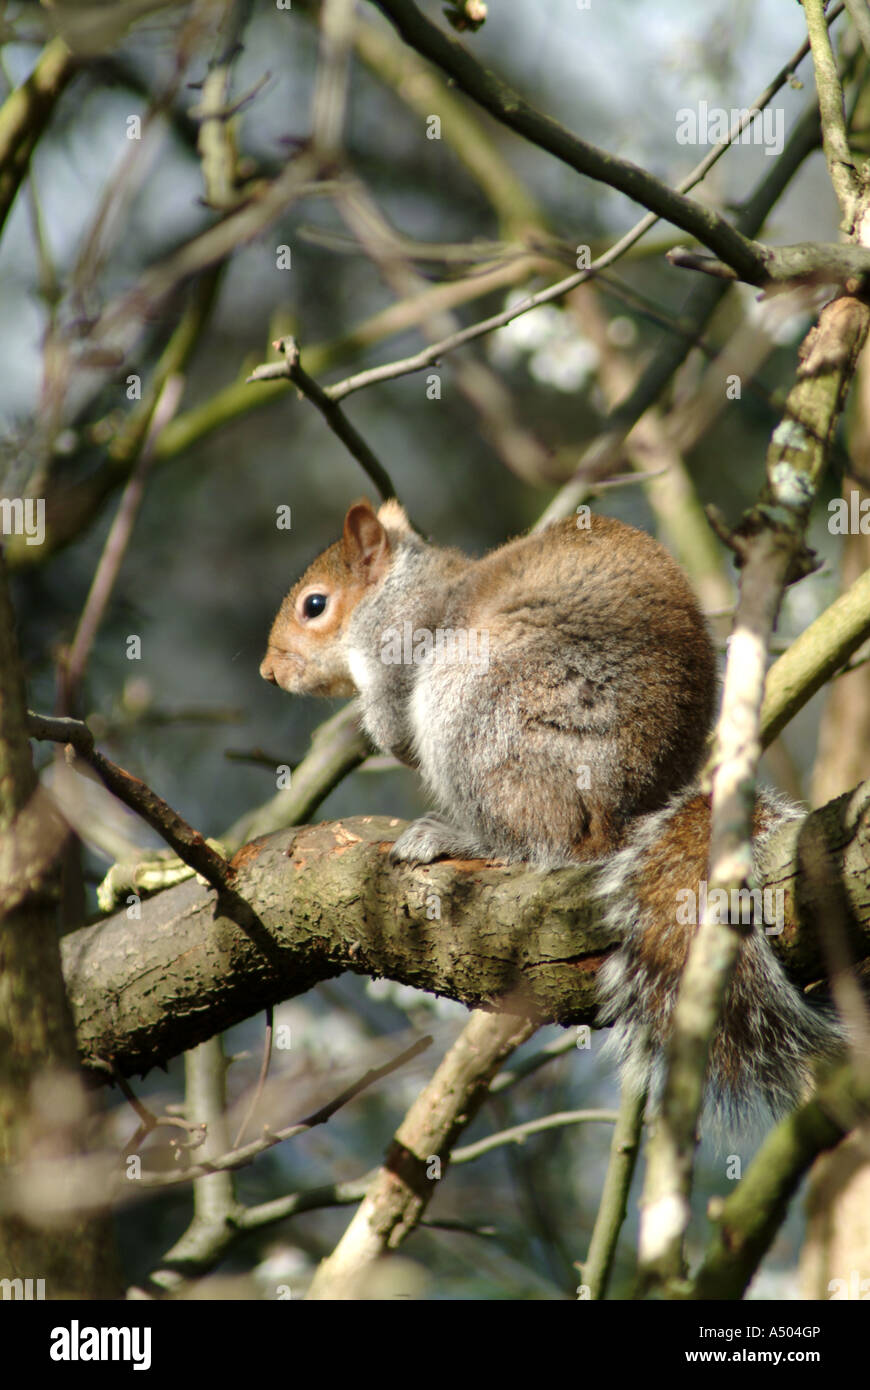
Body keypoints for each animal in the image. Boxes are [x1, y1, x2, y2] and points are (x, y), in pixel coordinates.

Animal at [260, 498, 842, 1118]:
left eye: (314, 605)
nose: (269, 672)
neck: (400, 586)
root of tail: (626, 817)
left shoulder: (400, 647)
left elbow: (393, 722)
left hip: (475, 704)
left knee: (540, 839)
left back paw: (455, 836)